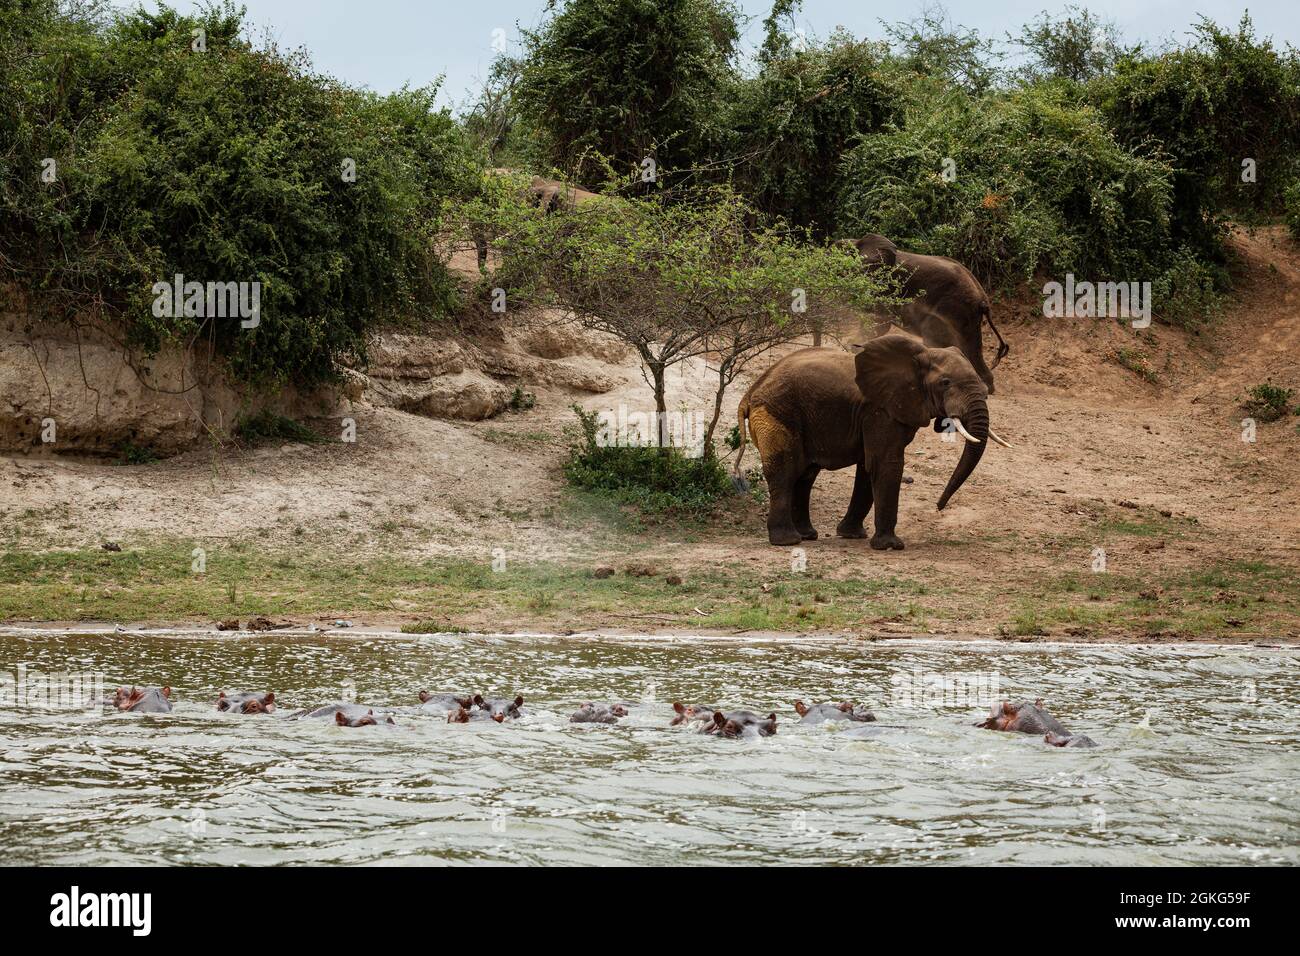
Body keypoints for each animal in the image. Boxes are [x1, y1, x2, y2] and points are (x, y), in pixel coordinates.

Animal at [735, 333, 1011, 548]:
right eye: (945, 383)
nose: (939, 507)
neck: (920, 354)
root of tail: (749, 395)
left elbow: (869, 466)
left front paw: (852, 536)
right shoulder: (881, 411)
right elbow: (886, 463)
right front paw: (890, 546)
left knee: (805, 474)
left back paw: (807, 536)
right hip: (777, 415)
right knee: (785, 471)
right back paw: (788, 541)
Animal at [843, 234, 1008, 394]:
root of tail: (983, 299)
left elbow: (879, 324)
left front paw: (851, 348)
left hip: (952, 308)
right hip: (967, 315)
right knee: (971, 346)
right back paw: (986, 387)